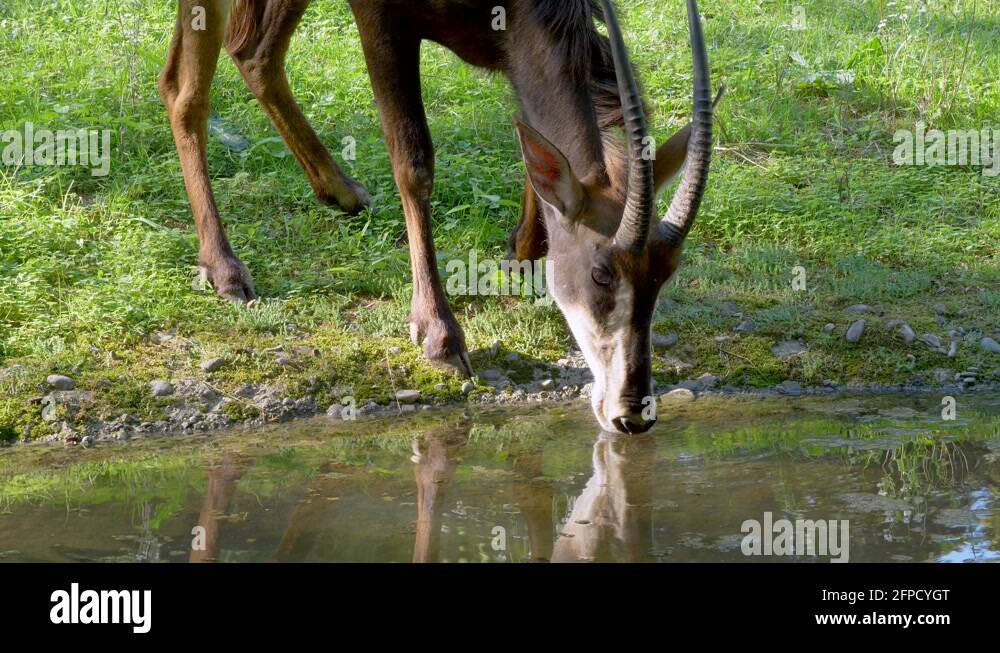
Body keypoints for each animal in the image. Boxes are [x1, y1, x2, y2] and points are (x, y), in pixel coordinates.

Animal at [159, 0, 716, 434]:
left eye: (666, 274)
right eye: (601, 273)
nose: (633, 413)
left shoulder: (509, 44)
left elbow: (531, 148)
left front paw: (522, 254)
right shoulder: (381, 18)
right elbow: (414, 164)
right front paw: (439, 334)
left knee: (254, 53)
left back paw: (341, 190)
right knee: (184, 87)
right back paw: (224, 267)